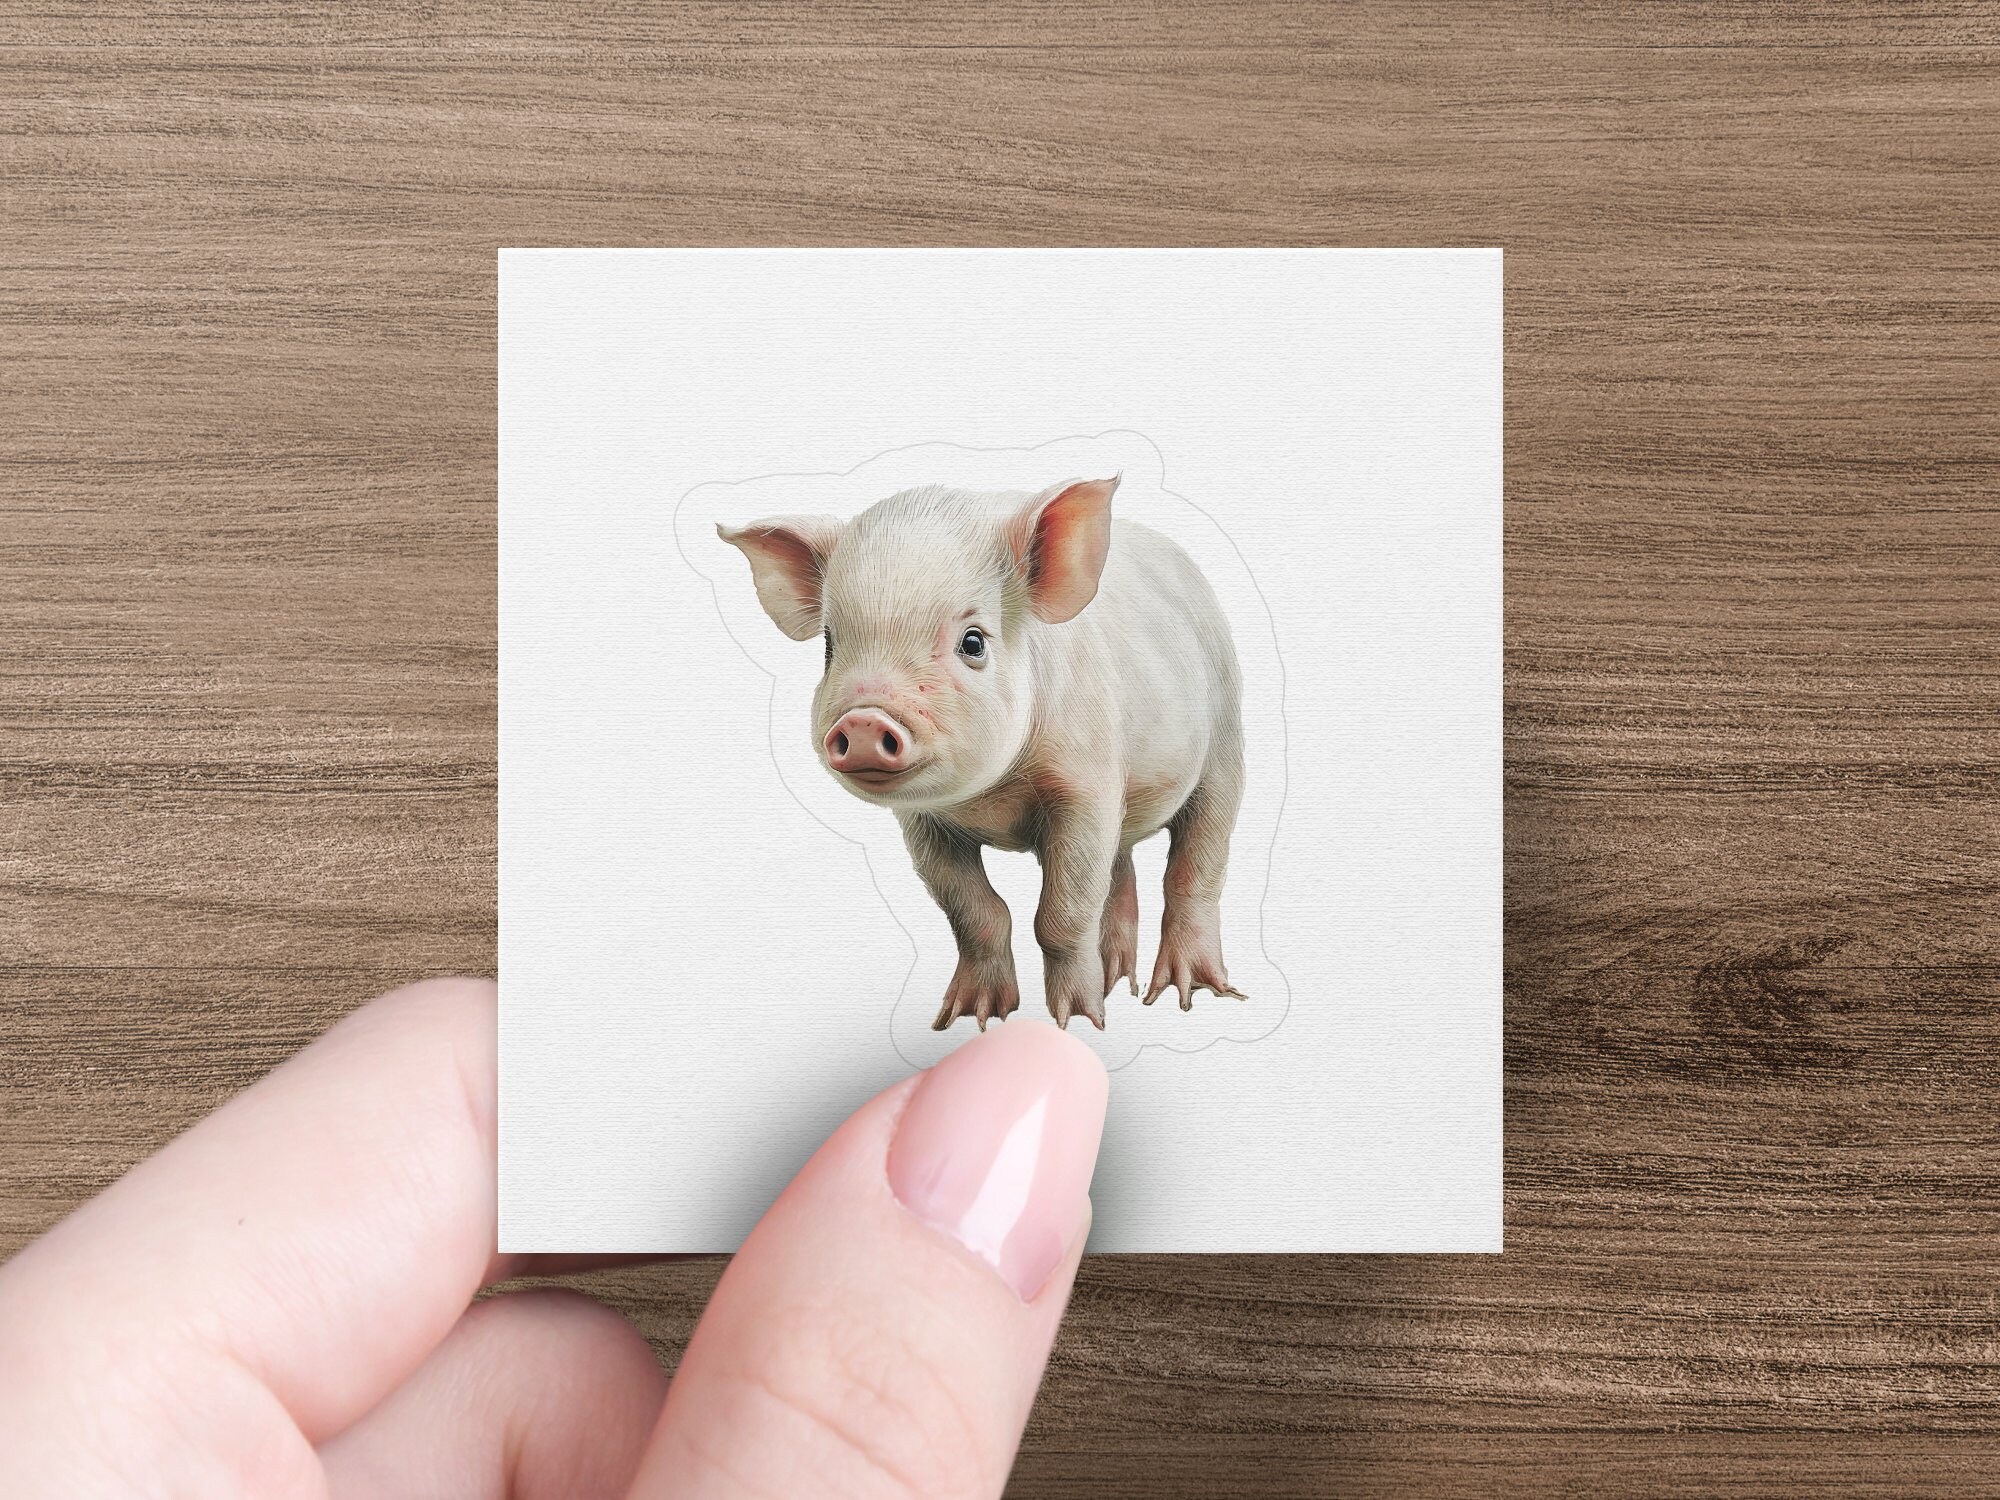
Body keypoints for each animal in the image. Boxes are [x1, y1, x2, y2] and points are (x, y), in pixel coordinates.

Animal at [719, 476, 1244, 1031]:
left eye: (973, 642)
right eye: (829, 646)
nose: (863, 720)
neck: (991, 799)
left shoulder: (1086, 787)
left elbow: (1061, 915)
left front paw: (1076, 1023)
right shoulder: (923, 822)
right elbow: (976, 913)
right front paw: (968, 1018)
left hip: (1226, 740)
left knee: (1196, 864)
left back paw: (1182, 995)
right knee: (1119, 873)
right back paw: (1120, 982)